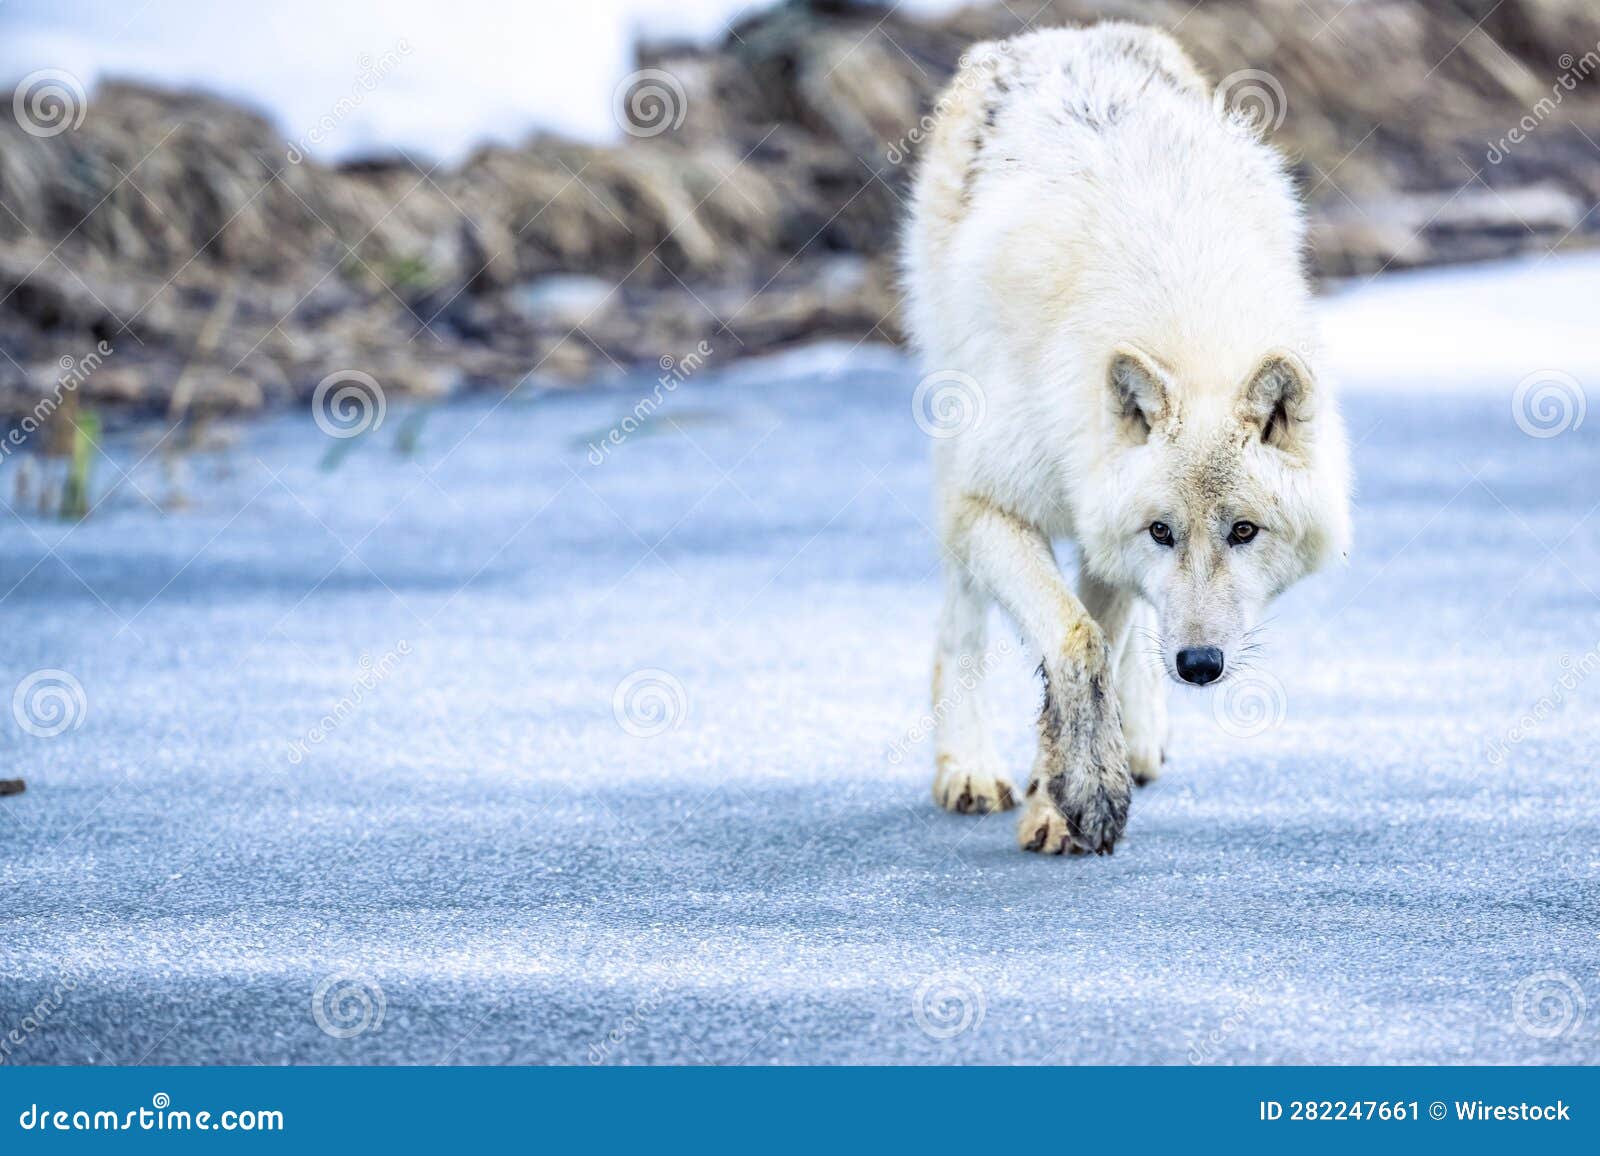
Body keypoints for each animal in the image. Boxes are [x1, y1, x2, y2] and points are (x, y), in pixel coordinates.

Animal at [901, 25, 1352, 855]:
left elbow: (1101, 639)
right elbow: (1074, 638)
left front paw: (1059, 800)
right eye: (1162, 532)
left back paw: (1139, 737)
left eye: (1244, 531)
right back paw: (968, 766)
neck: (1179, 314)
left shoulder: (1100, 526)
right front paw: (1086, 791)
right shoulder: (995, 502)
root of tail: (1056, 34)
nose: (1200, 664)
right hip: (955, 452)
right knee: (960, 621)